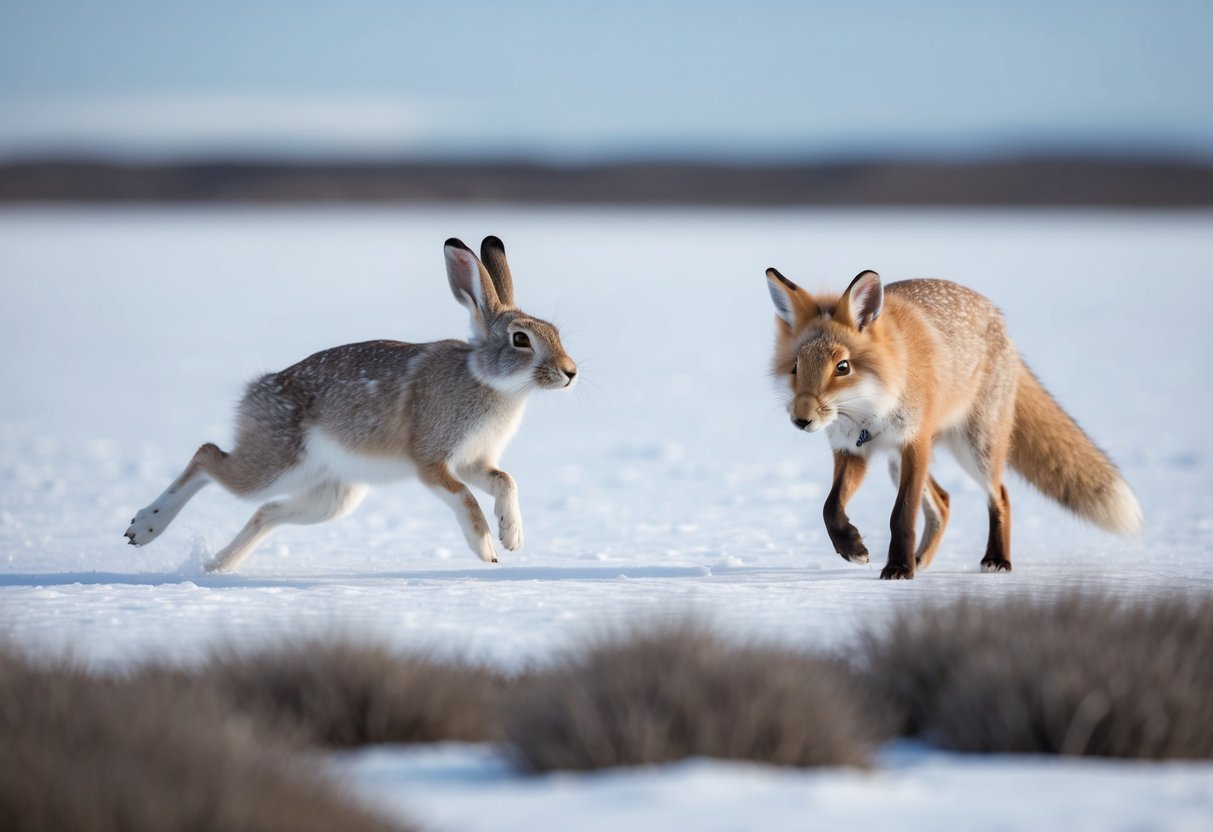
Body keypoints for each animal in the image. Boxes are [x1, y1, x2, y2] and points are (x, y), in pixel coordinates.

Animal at [124, 236, 577, 572]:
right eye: (521, 339)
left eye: (554, 332)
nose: (570, 372)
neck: (489, 381)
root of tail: (254, 391)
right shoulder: (431, 460)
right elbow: (464, 497)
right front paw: (486, 548)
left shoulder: (473, 461)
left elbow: (505, 481)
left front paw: (512, 535)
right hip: (276, 463)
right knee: (208, 457)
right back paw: (145, 527)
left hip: (332, 496)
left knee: (266, 512)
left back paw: (216, 566)